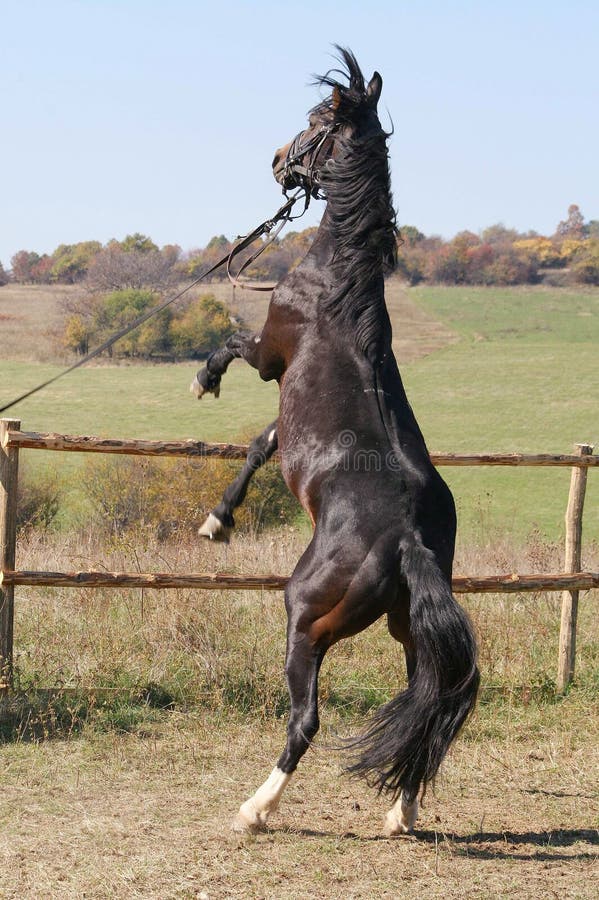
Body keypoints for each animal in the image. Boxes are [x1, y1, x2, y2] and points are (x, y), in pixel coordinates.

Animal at [191, 48, 479, 835]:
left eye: (319, 120)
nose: (278, 160)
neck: (338, 284)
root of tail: (406, 538)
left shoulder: (269, 357)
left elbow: (230, 348)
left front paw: (202, 380)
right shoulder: (285, 415)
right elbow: (260, 446)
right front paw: (217, 520)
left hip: (306, 618)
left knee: (306, 720)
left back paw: (254, 809)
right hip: (409, 632)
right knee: (426, 709)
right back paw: (401, 814)